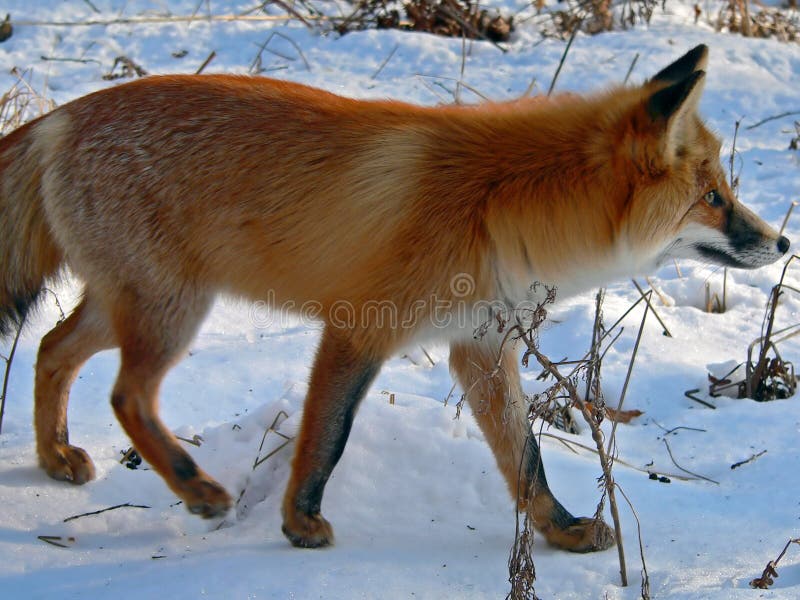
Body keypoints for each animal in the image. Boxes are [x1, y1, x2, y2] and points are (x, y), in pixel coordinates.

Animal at [0, 44, 789, 553]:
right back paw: (197, 489)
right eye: (714, 198)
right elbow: (329, 436)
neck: (503, 205)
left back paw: (55, 457)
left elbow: (526, 459)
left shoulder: (481, 346)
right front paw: (300, 524)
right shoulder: (359, 328)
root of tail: (62, 117)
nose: (781, 243)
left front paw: (560, 530)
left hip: (133, 305)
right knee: (125, 394)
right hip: (173, 311)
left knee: (51, 350)